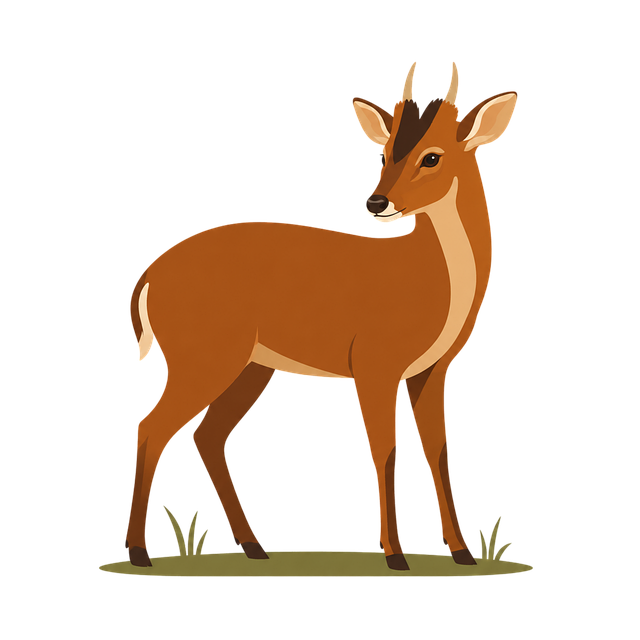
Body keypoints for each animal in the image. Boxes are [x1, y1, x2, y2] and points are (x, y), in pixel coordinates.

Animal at [125, 60, 518, 571]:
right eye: (386, 150)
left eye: (431, 156)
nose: (376, 203)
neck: (431, 279)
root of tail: (149, 276)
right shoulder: (374, 361)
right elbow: (386, 450)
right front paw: (396, 556)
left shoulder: (432, 369)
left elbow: (436, 449)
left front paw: (462, 554)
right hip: (204, 357)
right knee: (151, 427)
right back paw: (139, 553)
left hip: (250, 365)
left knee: (207, 435)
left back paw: (254, 547)